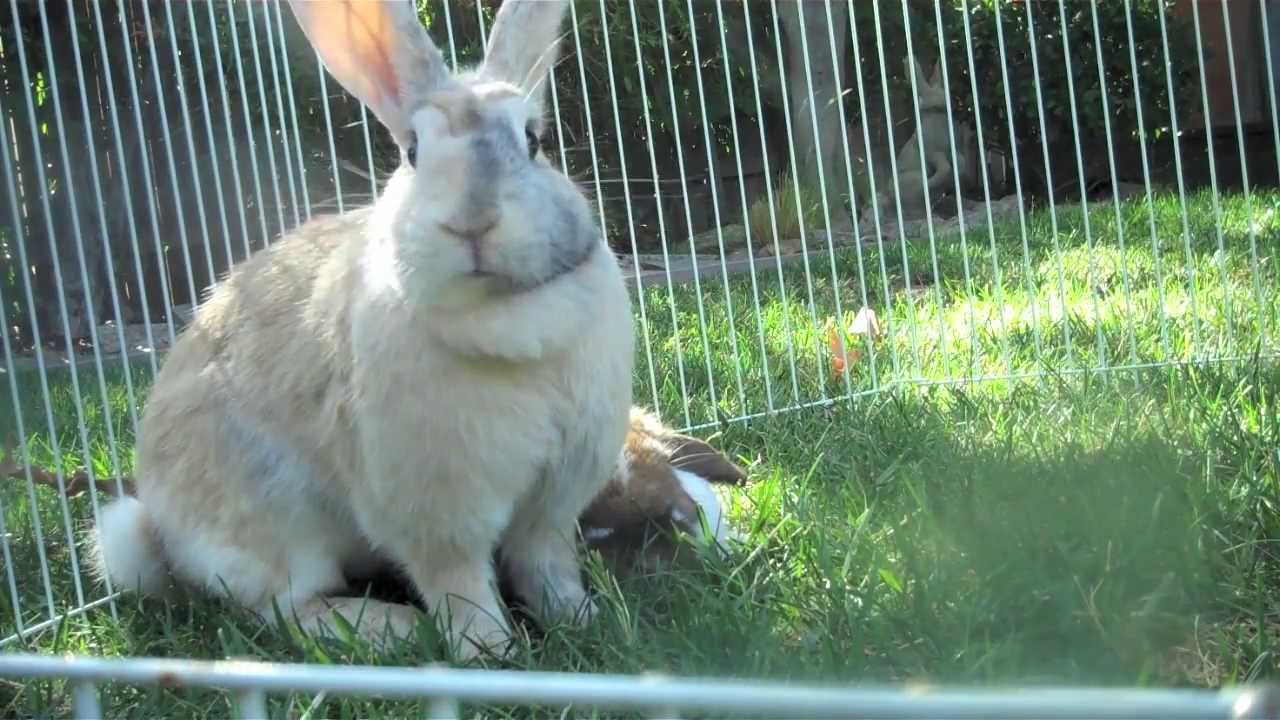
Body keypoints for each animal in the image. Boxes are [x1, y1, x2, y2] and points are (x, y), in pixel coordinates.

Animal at [90, 0, 635, 662]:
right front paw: (488, 650)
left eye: (534, 140)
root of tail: (161, 533)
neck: (505, 320)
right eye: (412, 152)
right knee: (287, 608)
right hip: (276, 519)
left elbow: (545, 562)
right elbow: (458, 582)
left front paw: (584, 618)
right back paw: (389, 626)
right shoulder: (437, 511)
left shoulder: (556, 495)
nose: (471, 221)